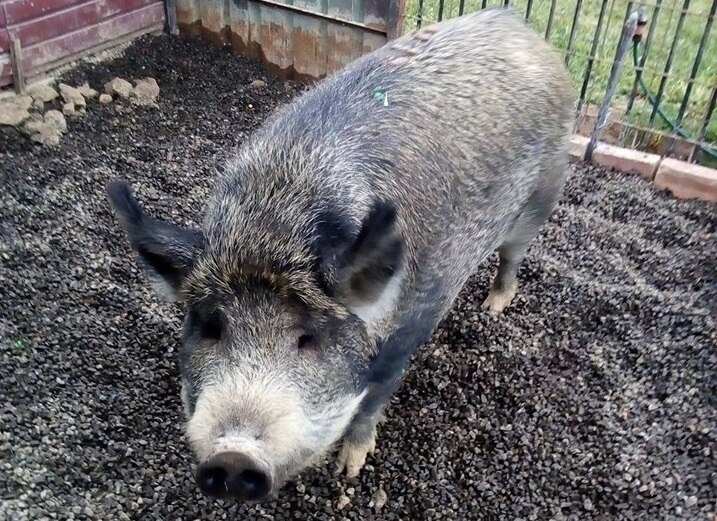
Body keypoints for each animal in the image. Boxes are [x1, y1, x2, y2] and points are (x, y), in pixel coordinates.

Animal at [106, 7, 575, 502]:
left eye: (308, 338)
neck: (272, 224)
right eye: (212, 328)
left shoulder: (411, 328)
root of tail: (519, 25)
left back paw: (494, 306)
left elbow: (373, 400)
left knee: (513, 255)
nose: (233, 456)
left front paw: (349, 471)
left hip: (542, 195)